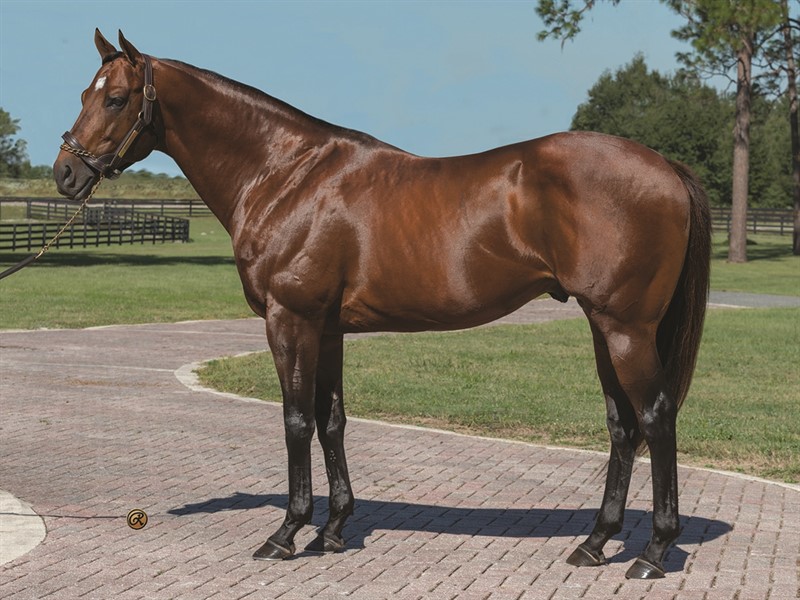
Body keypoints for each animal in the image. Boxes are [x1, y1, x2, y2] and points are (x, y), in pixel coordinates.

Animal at [54, 30, 711, 580]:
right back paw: (595, 543)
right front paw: (334, 529)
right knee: (623, 425)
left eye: (116, 99)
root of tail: (667, 167)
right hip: (604, 326)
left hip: (625, 328)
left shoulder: (290, 320)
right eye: (85, 92)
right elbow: (331, 421)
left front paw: (287, 533)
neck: (285, 175)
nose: (64, 175)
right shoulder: (327, 329)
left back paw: (653, 552)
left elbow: (295, 421)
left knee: (655, 418)